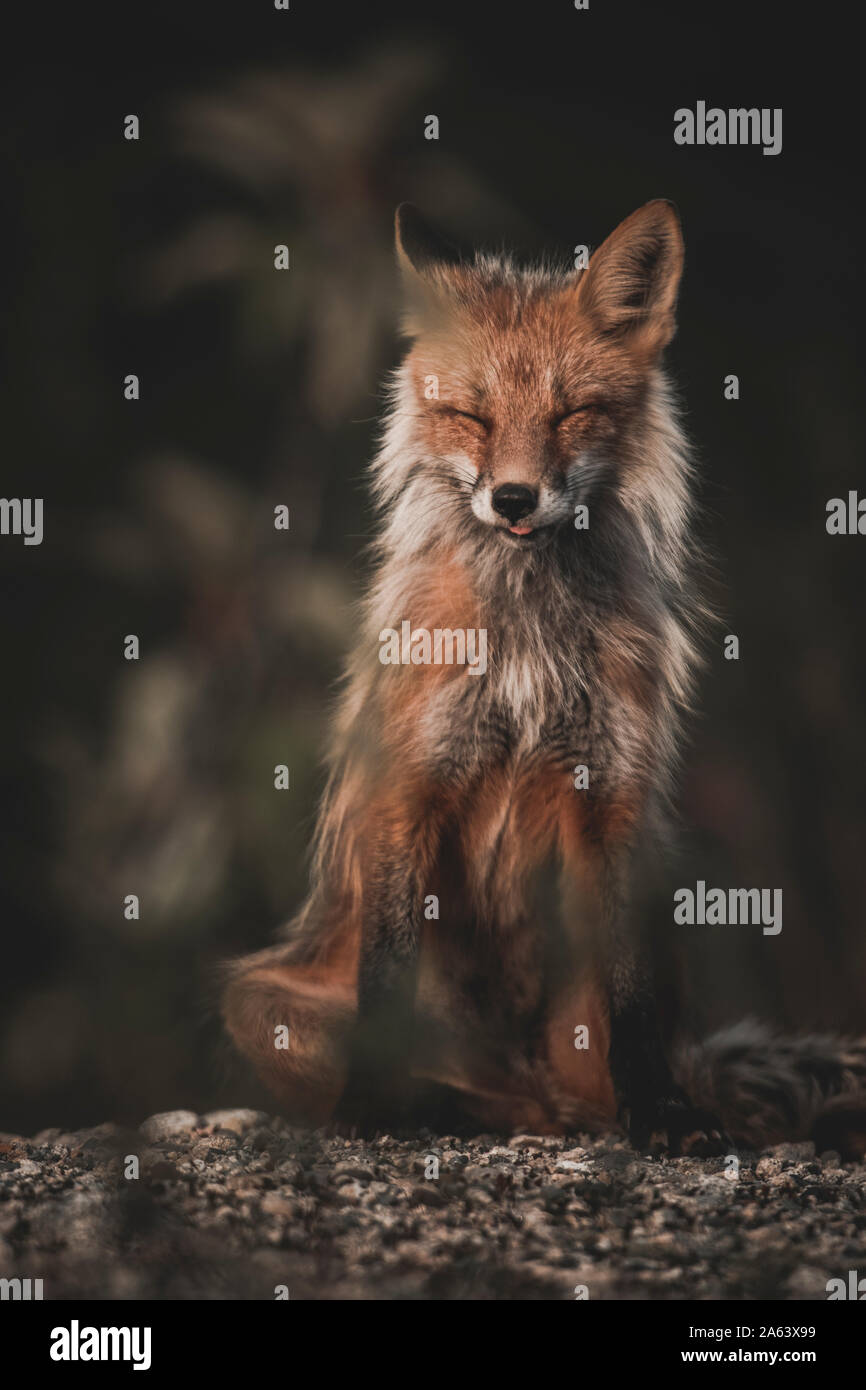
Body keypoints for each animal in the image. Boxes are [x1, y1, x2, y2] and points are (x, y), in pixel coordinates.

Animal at [223, 199, 866, 1156]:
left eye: (572, 413)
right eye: (474, 417)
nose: (515, 499)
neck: (526, 642)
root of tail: (519, 1067)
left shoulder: (614, 794)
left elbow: (630, 1006)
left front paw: (662, 1116)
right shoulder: (410, 786)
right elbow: (386, 981)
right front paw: (370, 1108)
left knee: (589, 1090)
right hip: (257, 1001)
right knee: (493, 1094)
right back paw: (438, 1106)